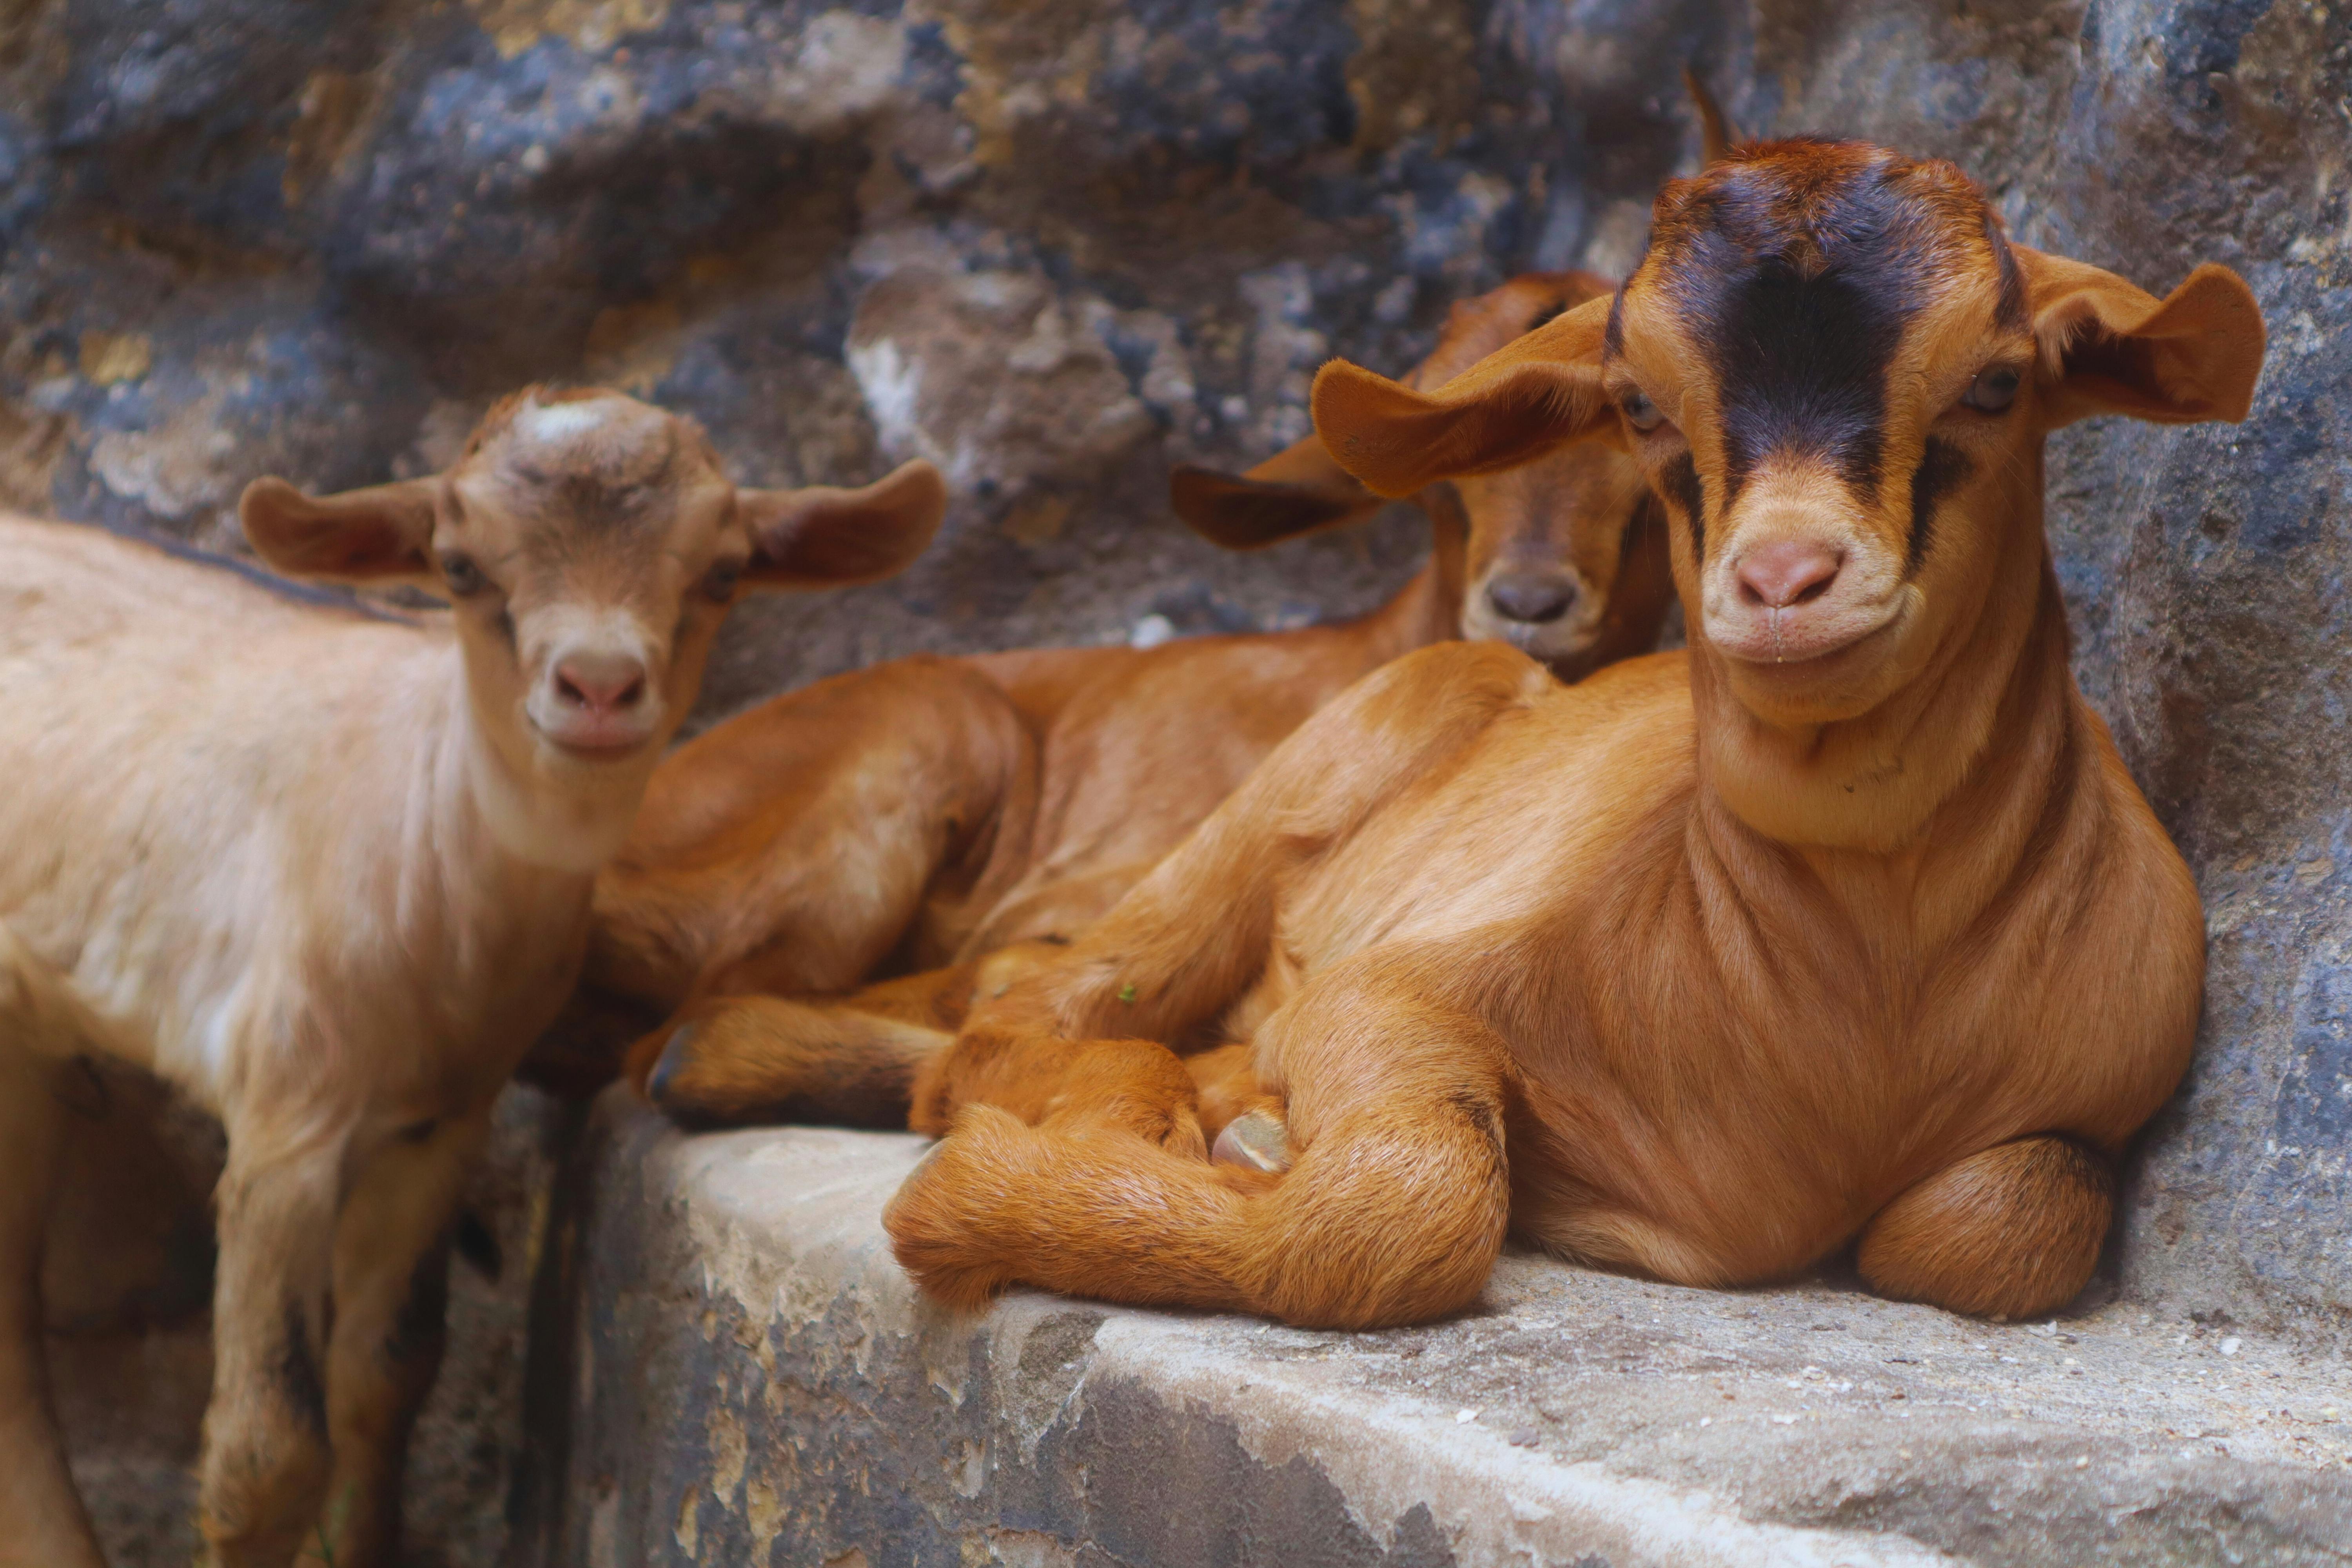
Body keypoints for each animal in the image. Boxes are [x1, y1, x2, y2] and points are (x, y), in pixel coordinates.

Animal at [0, 388, 943, 1568]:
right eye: (457, 564)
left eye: (723, 571)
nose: (598, 685)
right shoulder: (284, 1115)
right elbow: (266, 1448)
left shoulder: (440, 1123)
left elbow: (387, 1375)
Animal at [874, 137, 2265, 1331]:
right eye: (1639, 405)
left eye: (1996, 380)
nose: (1782, 580)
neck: (1860, 994)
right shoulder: (1390, 990)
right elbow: (1413, 1207)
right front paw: (967, 1202)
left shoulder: (2094, 1103)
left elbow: (2012, 1217)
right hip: (1301, 784)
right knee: (1021, 1017)